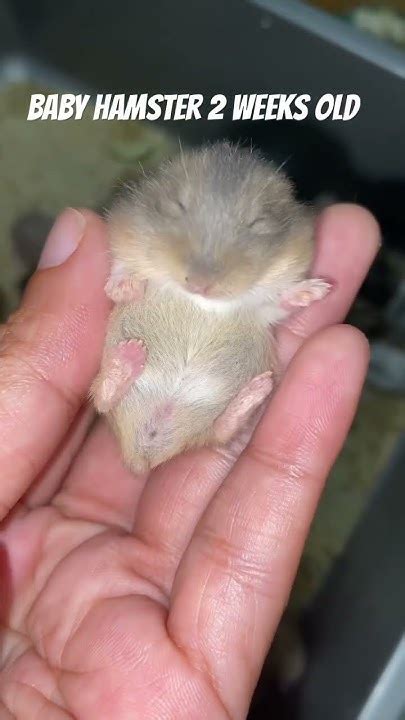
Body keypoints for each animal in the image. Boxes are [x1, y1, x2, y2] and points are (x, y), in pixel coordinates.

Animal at [92, 142, 330, 472]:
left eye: (257, 223)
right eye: (179, 205)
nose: (198, 284)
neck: (202, 302)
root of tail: (146, 456)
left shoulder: (265, 305)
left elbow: (280, 300)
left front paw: (318, 290)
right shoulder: (126, 237)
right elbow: (122, 268)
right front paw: (127, 288)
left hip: (207, 425)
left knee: (219, 431)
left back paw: (255, 392)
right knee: (102, 400)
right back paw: (130, 355)